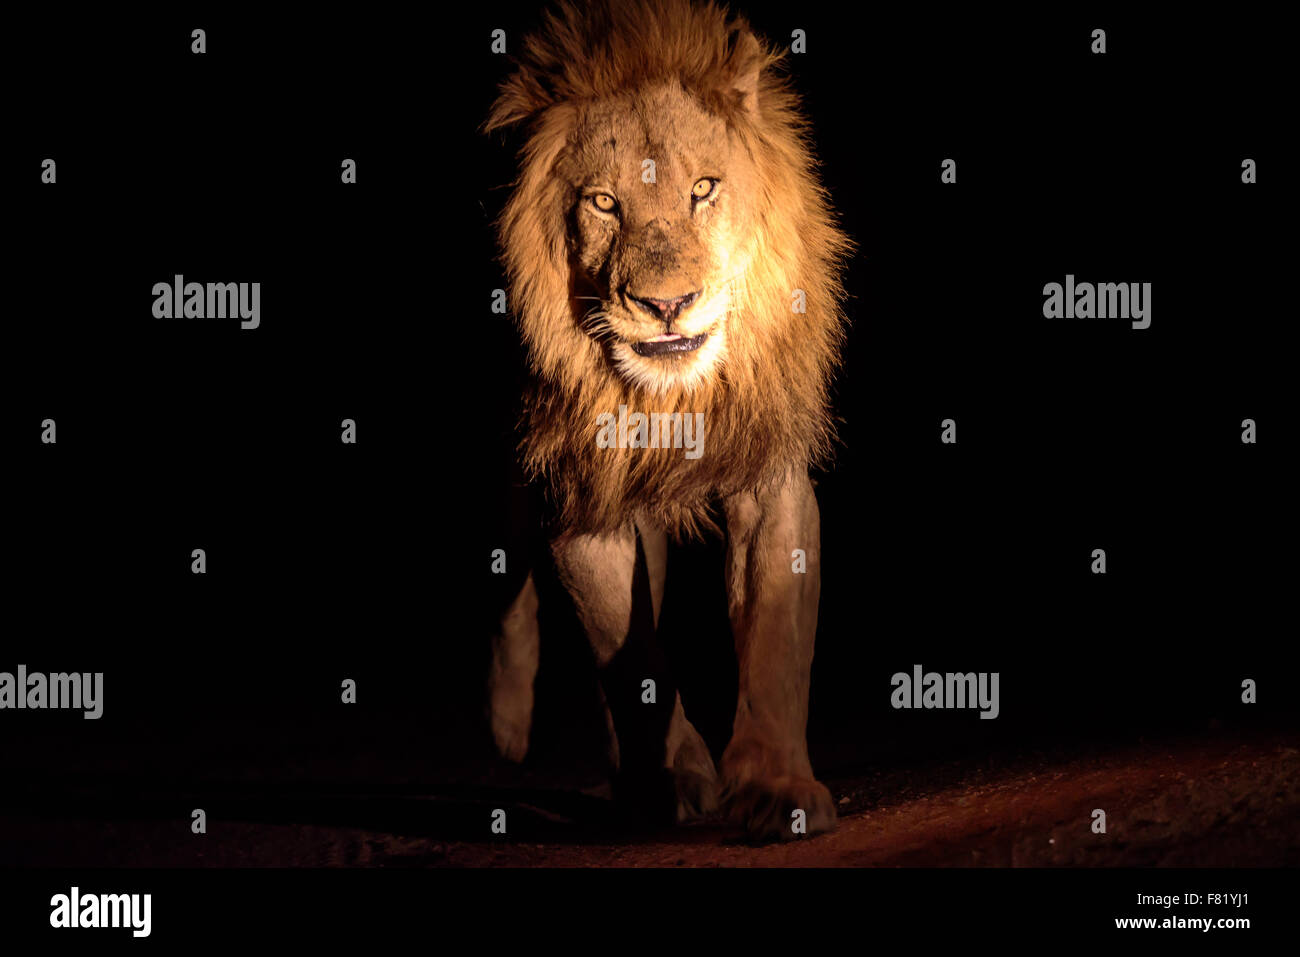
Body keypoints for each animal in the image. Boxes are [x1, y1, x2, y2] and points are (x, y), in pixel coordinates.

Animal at [485, 0, 851, 840]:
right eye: (603, 202)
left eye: (703, 189)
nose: (666, 305)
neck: (670, 399)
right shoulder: (581, 493)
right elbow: (631, 653)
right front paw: (681, 779)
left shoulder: (768, 470)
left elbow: (775, 640)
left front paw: (776, 788)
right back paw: (513, 731)